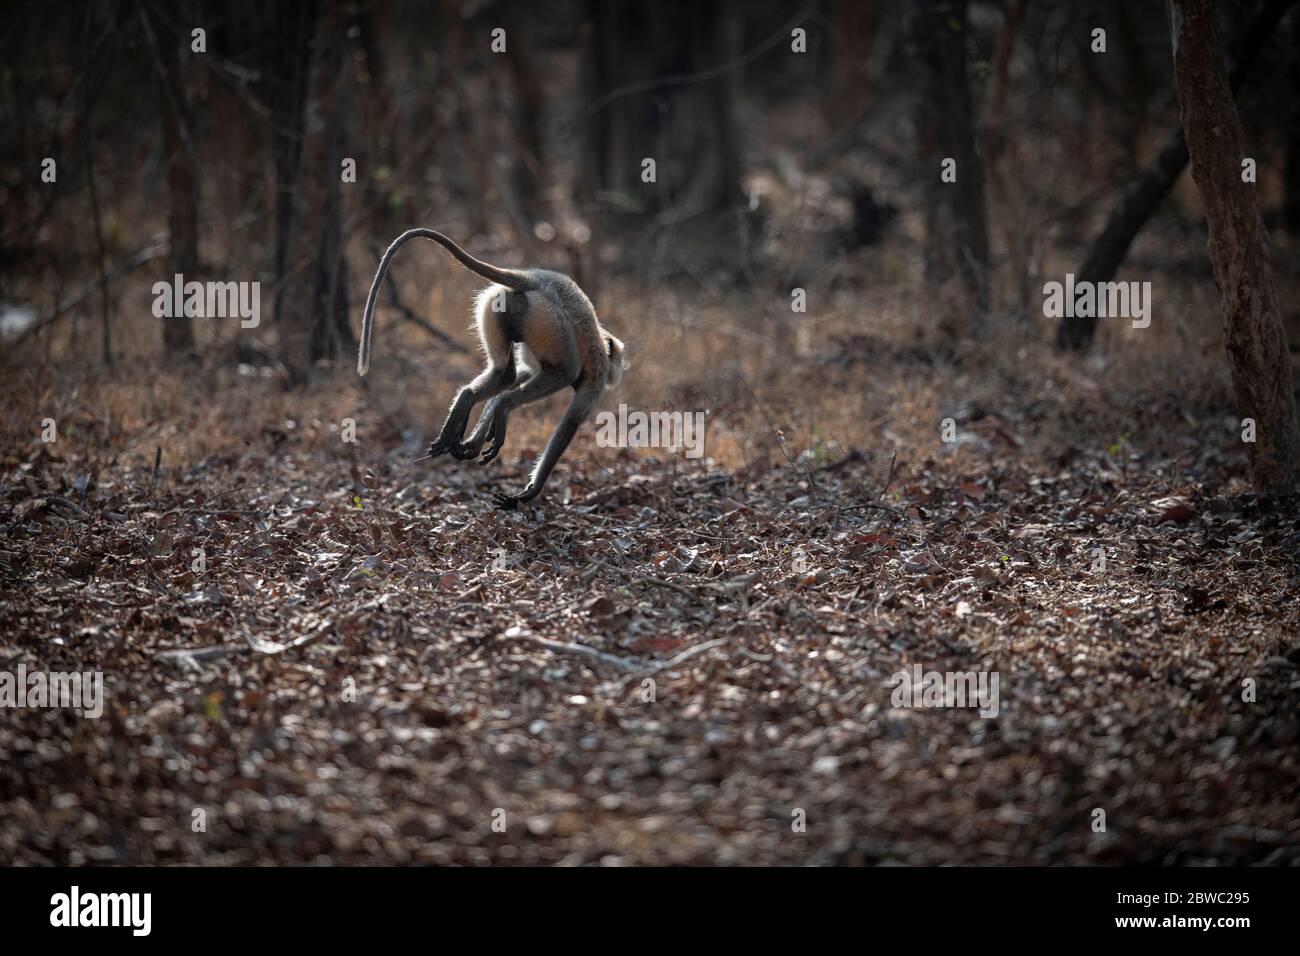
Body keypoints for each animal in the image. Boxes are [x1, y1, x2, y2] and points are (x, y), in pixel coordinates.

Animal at [357, 228, 626, 510]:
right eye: (616, 361)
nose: (619, 371)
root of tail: (535, 279)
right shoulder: (597, 372)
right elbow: (571, 420)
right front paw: (527, 493)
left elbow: (518, 378)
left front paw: (473, 446)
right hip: (551, 322)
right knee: (564, 372)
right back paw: (503, 408)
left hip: (501, 304)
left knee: (504, 374)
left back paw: (466, 405)